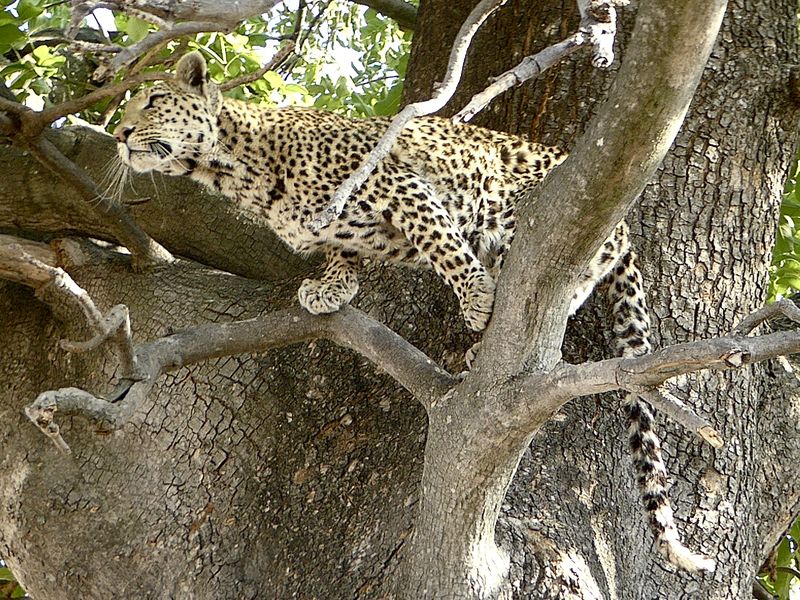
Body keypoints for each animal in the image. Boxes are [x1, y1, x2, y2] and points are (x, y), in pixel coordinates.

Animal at [114, 50, 714, 573]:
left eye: (152, 101)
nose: (118, 134)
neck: (232, 169)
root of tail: (623, 228)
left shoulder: (398, 182)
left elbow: (441, 240)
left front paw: (473, 295)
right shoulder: (347, 226)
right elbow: (343, 252)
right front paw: (329, 288)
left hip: (524, 214)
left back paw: (486, 323)